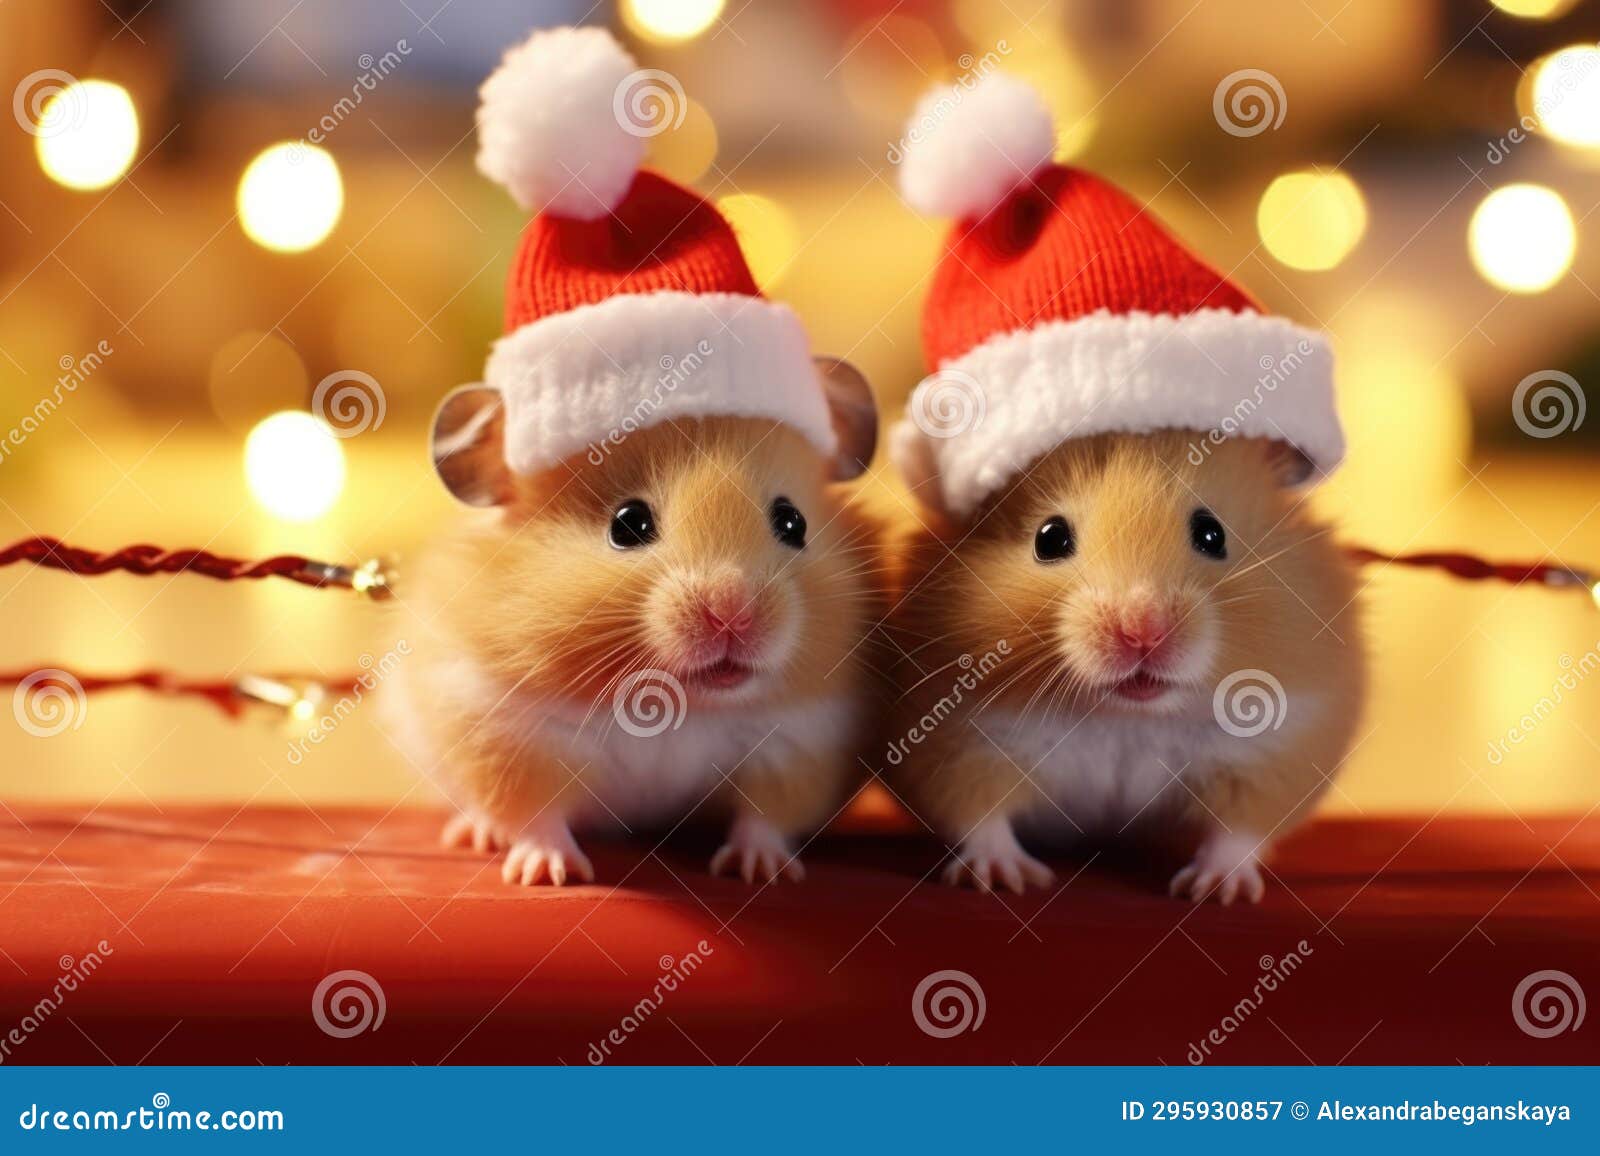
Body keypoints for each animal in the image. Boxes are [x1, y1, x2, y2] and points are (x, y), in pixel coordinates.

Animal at [386, 365, 884, 886]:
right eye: (628, 525)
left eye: (793, 522)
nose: (732, 613)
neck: (677, 709)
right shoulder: (506, 730)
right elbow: (536, 813)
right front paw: (548, 873)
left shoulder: (798, 742)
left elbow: (765, 817)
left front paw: (761, 872)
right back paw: (474, 834)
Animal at [882, 430, 1366, 902]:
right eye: (1049, 538)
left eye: (1212, 534)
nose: (1142, 630)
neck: (1126, 719)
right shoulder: (962, 745)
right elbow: (980, 817)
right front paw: (1008, 879)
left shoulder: (1270, 752)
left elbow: (1237, 832)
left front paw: (1215, 891)